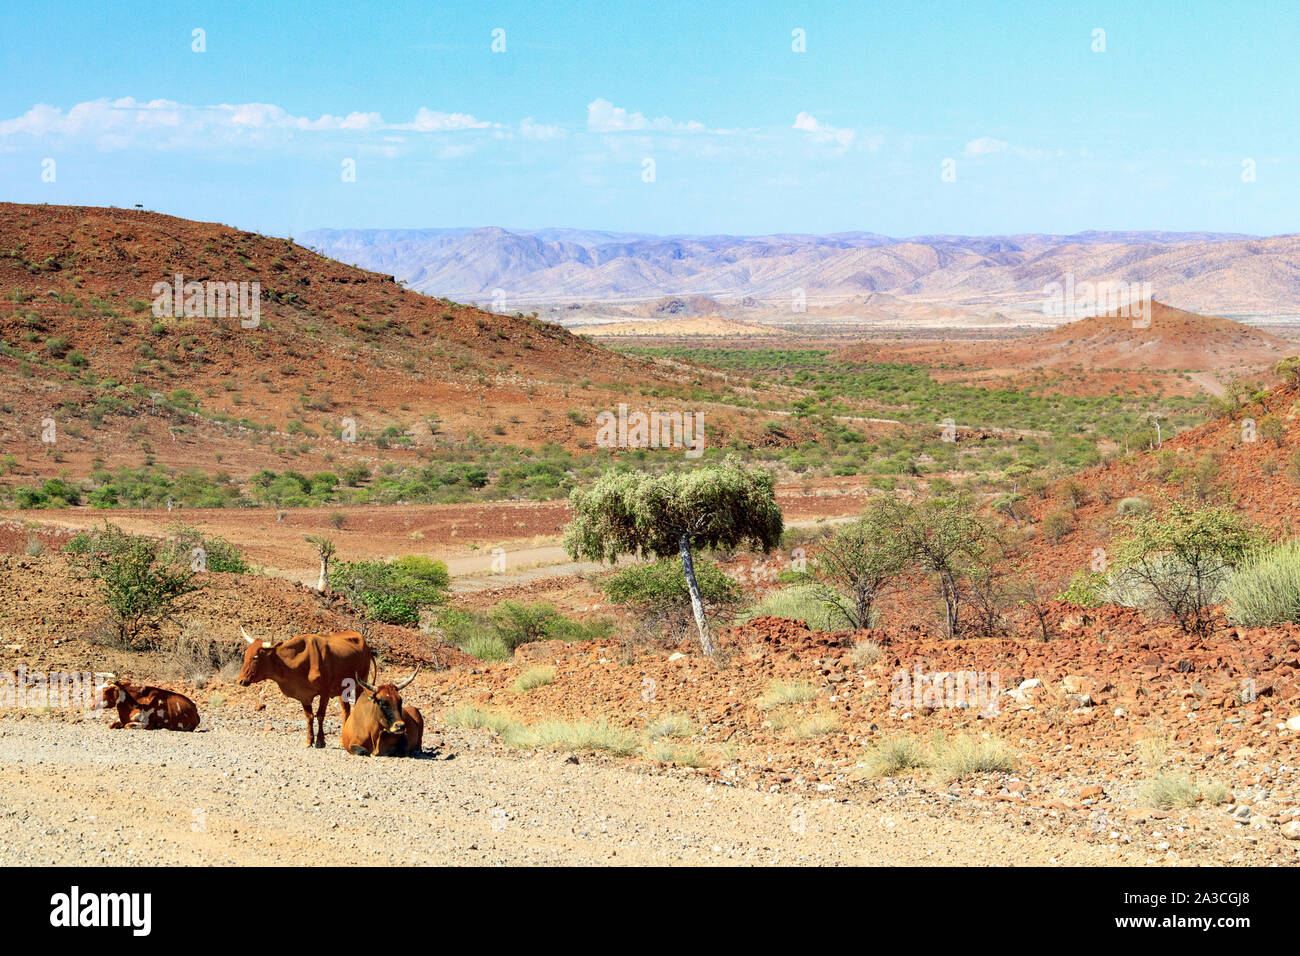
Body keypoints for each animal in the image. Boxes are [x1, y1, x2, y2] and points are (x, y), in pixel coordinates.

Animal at [237, 625, 371, 748]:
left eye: (255, 657)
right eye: (246, 654)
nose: (240, 680)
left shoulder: (325, 692)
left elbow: (320, 715)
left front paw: (320, 741)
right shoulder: (303, 694)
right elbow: (309, 717)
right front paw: (309, 740)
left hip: (361, 682)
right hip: (342, 689)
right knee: (346, 710)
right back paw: (342, 741)